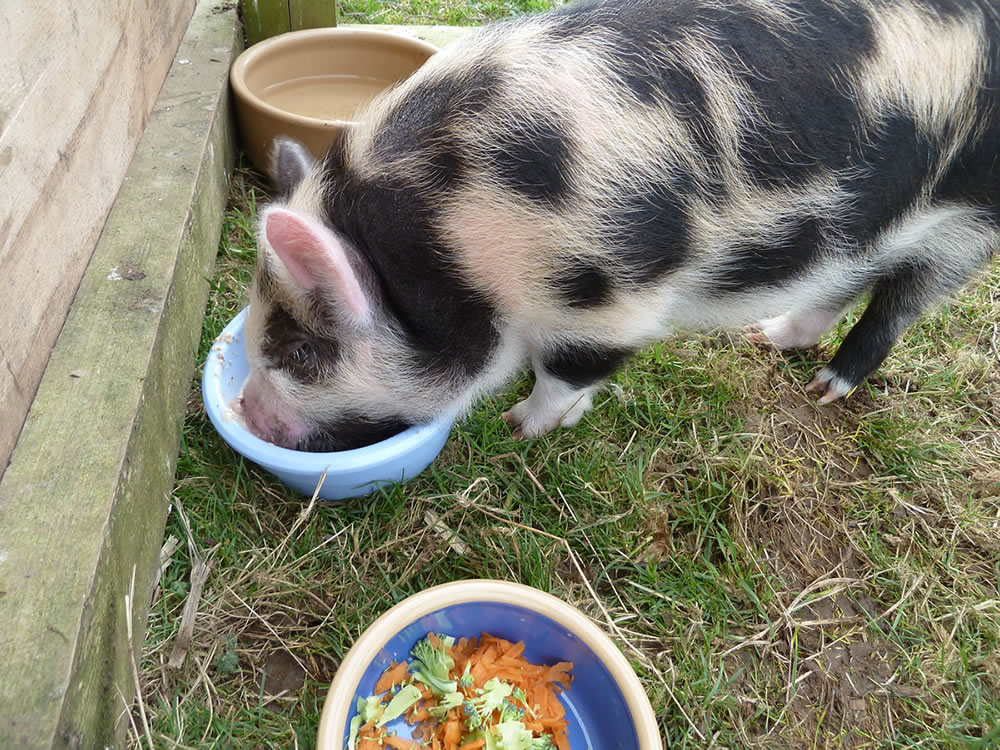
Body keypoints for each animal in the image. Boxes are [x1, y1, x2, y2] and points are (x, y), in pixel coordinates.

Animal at [239, 0, 999, 452]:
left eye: (303, 351)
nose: (248, 413)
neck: (442, 239)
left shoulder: (608, 301)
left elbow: (566, 372)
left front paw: (521, 428)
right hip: (863, 230)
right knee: (844, 278)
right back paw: (767, 339)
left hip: (966, 225)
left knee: (899, 304)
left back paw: (826, 387)